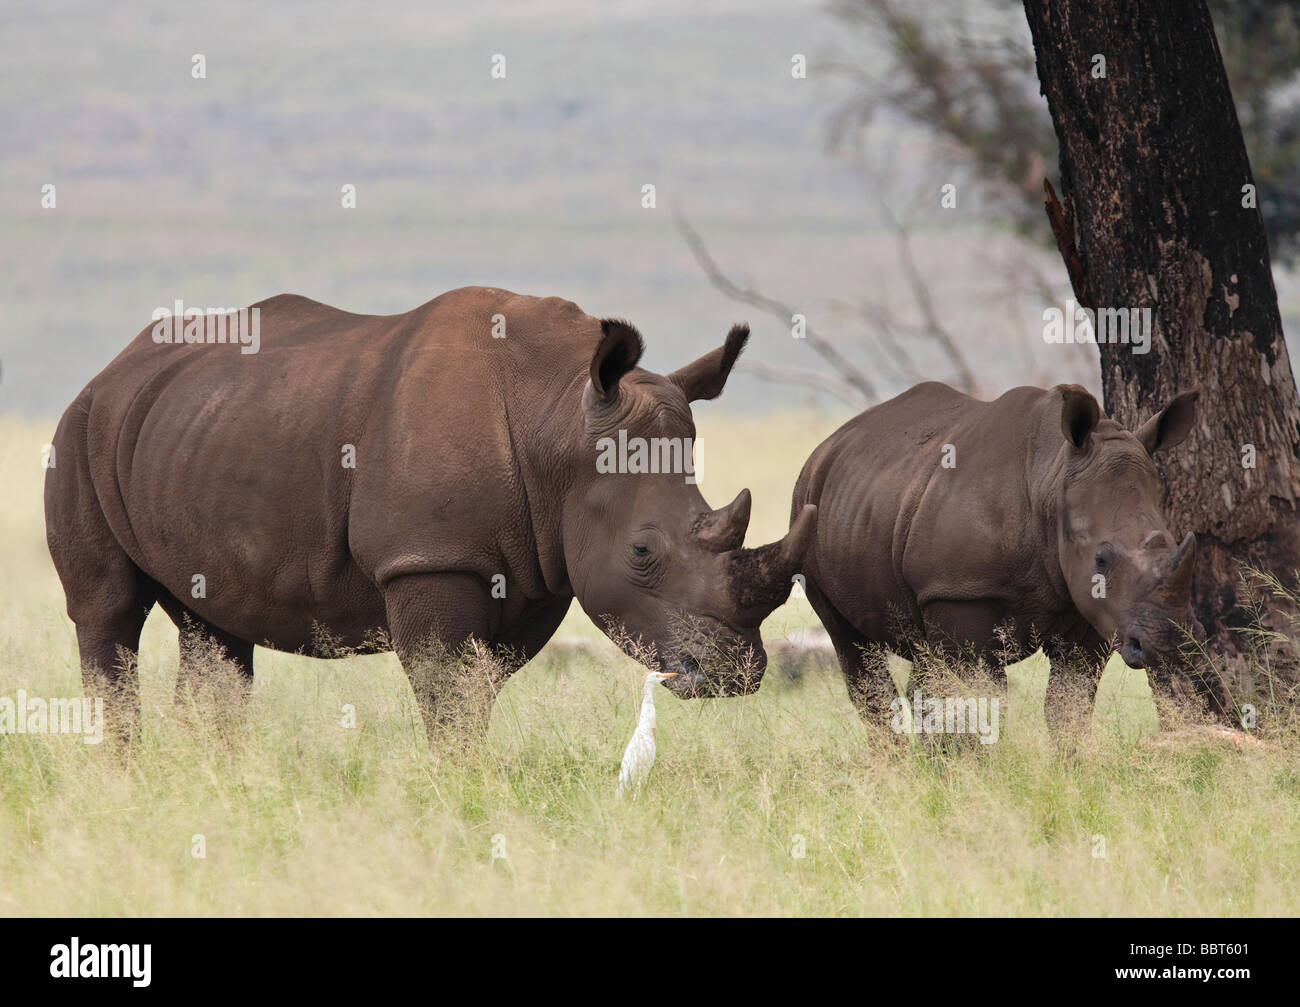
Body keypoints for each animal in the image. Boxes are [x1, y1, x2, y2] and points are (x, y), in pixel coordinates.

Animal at [45, 286, 818, 740]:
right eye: (643, 553)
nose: (737, 673)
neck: (557, 417)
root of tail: (111, 370)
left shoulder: (537, 567)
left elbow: (476, 690)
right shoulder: (428, 559)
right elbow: (450, 693)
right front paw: (460, 792)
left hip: (190, 430)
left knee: (213, 626)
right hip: (78, 432)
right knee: (106, 611)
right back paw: (126, 773)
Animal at [792, 381, 1216, 711]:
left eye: (1174, 544)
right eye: (1102, 559)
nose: (1173, 644)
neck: (1051, 479)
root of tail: (829, 444)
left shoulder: (1092, 612)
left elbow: (1068, 707)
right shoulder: (959, 593)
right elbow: (978, 700)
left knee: (926, 667)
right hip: (804, 512)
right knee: (853, 650)